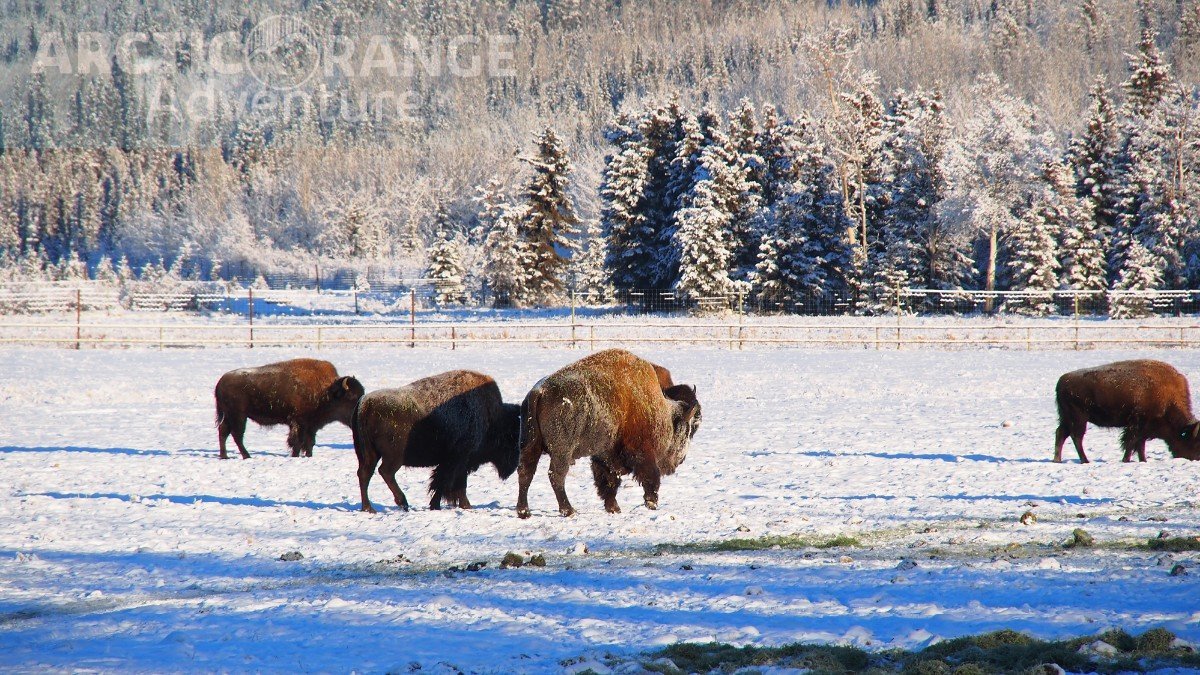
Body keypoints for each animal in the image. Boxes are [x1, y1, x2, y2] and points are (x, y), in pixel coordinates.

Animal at [215, 358, 364, 459]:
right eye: (351, 397)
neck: (327, 391)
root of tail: (220, 382)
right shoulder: (299, 422)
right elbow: (297, 442)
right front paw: (295, 456)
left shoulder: (311, 426)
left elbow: (309, 442)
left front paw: (308, 456)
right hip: (239, 416)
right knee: (236, 434)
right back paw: (247, 456)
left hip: (230, 416)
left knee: (223, 431)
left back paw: (225, 456)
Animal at [352, 370, 521, 513]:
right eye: (513, 437)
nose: (515, 464)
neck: (494, 417)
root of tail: (365, 404)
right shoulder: (458, 460)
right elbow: (450, 483)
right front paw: (455, 505)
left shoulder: (456, 462)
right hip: (393, 457)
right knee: (385, 472)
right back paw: (402, 503)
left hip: (368, 454)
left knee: (365, 473)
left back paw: (368, 508)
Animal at [516, 349, 701, 518]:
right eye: (692, 427)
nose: (681, 460)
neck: (663, 407)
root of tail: (539, 391)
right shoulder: (642, 452)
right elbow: (649, 475)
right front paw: (651, 503)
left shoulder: (605, 456)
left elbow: (609, 481)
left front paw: (614, 508)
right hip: (562, 451)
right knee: (556, 475)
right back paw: (568, 510)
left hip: (531, 445)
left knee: (526, 472)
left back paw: (524, 512)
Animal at [1054, 359, 1200, 463]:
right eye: (1193, 442)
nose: (1195, 458)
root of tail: (1062, 380)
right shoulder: (1137, 425)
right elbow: (1131, 443)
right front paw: (1126, 460)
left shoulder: (1143, 429)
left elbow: (1140, 445)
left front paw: (1143, 460)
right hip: (1079, 419)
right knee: (1076, 437)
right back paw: (1085, 460)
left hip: (1067, 418)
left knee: (1061, 433)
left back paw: (1057, 460)